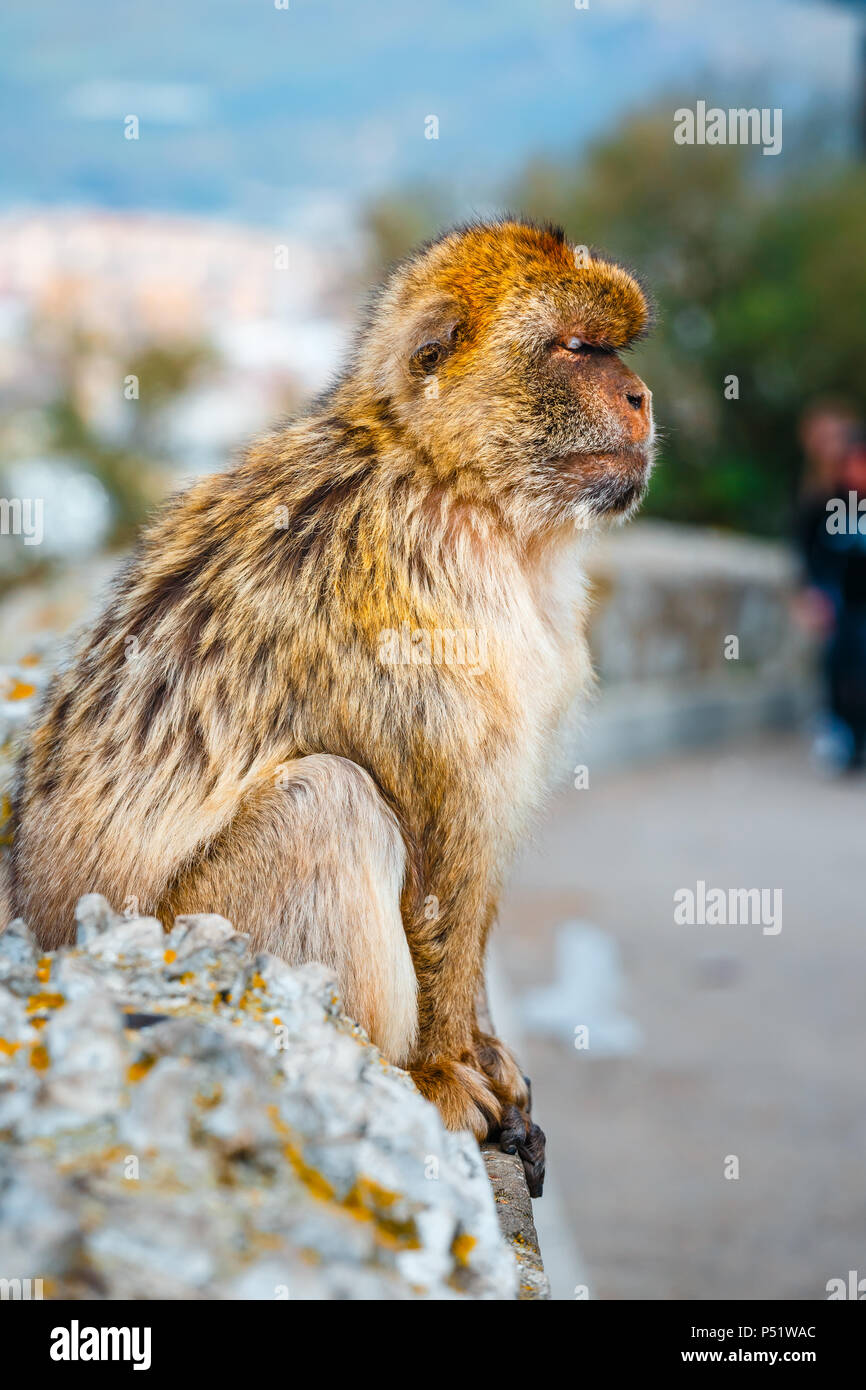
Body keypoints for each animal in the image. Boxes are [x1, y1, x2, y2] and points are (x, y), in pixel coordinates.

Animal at [6, 219, 654, 1195]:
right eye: (578, 350)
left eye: (615, 348)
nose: (641, 395)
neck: (461, 486)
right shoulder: (418, 615)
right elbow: (443, 847)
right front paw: (442, 1067)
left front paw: (481, 1051)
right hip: (201, 921)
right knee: (330, 802)